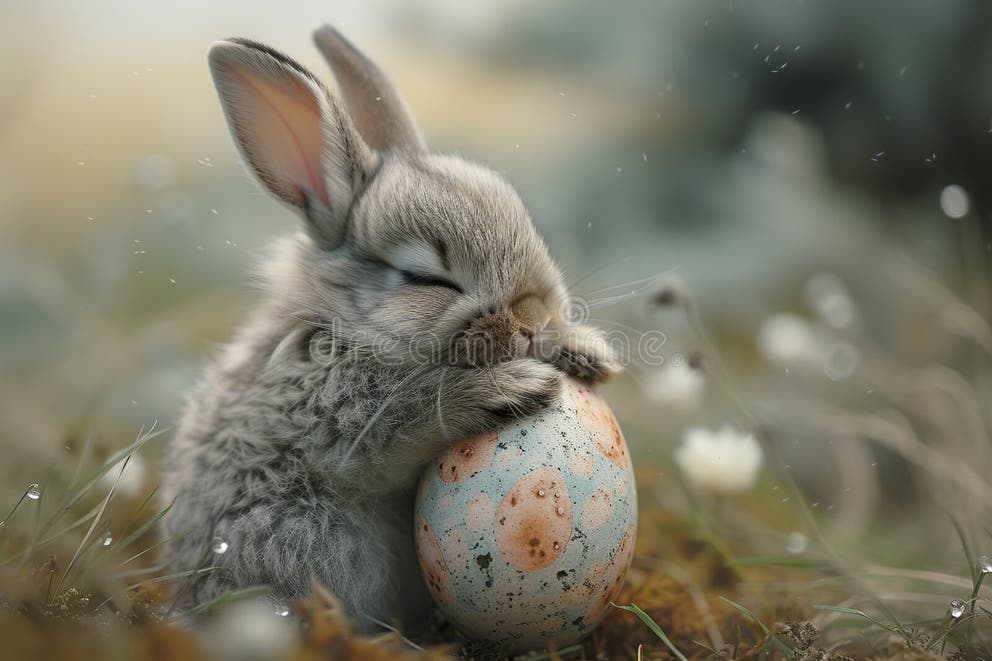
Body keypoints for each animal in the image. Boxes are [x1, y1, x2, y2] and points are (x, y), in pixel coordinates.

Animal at [160, 25, 620, 633]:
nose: (531, 324)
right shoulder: (337, 414)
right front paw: (509, 388)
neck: (346, 324)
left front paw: (585, 354)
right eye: (427, 279)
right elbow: (406, 415)